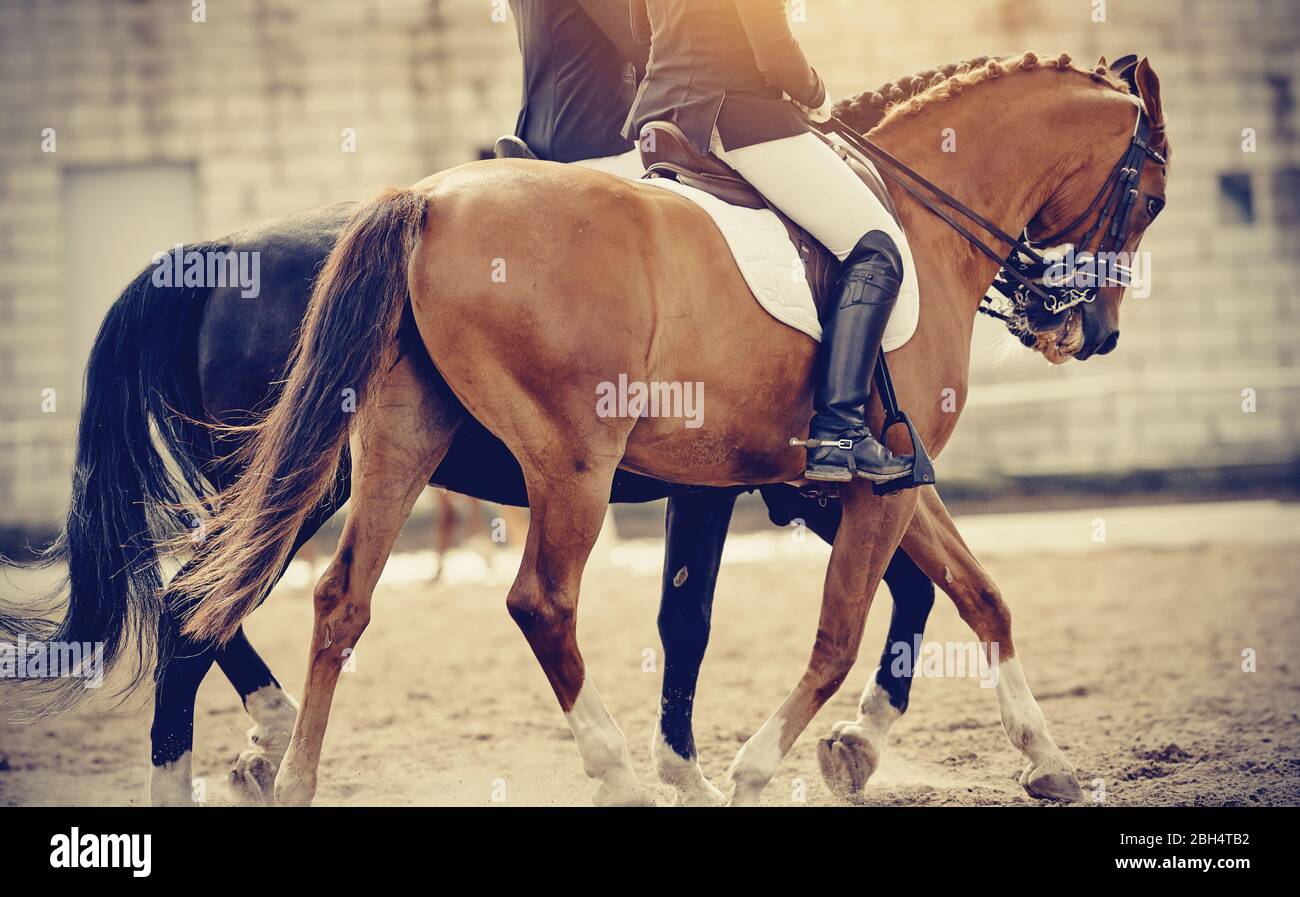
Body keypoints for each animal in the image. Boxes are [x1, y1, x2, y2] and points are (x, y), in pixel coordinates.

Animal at [166, 51, 1170, 806]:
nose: (1090, 333)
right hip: (571, 460)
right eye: (1153, 200)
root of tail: (431, 201)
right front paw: (759, 768)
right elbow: (839, 631)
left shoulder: (884, 476)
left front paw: (1043, 758)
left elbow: (979, 594)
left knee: (338, 599)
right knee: (538, 602)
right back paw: (614, 773)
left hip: (398, 444)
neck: (923, 221)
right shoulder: (868, 483)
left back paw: (291, 776)